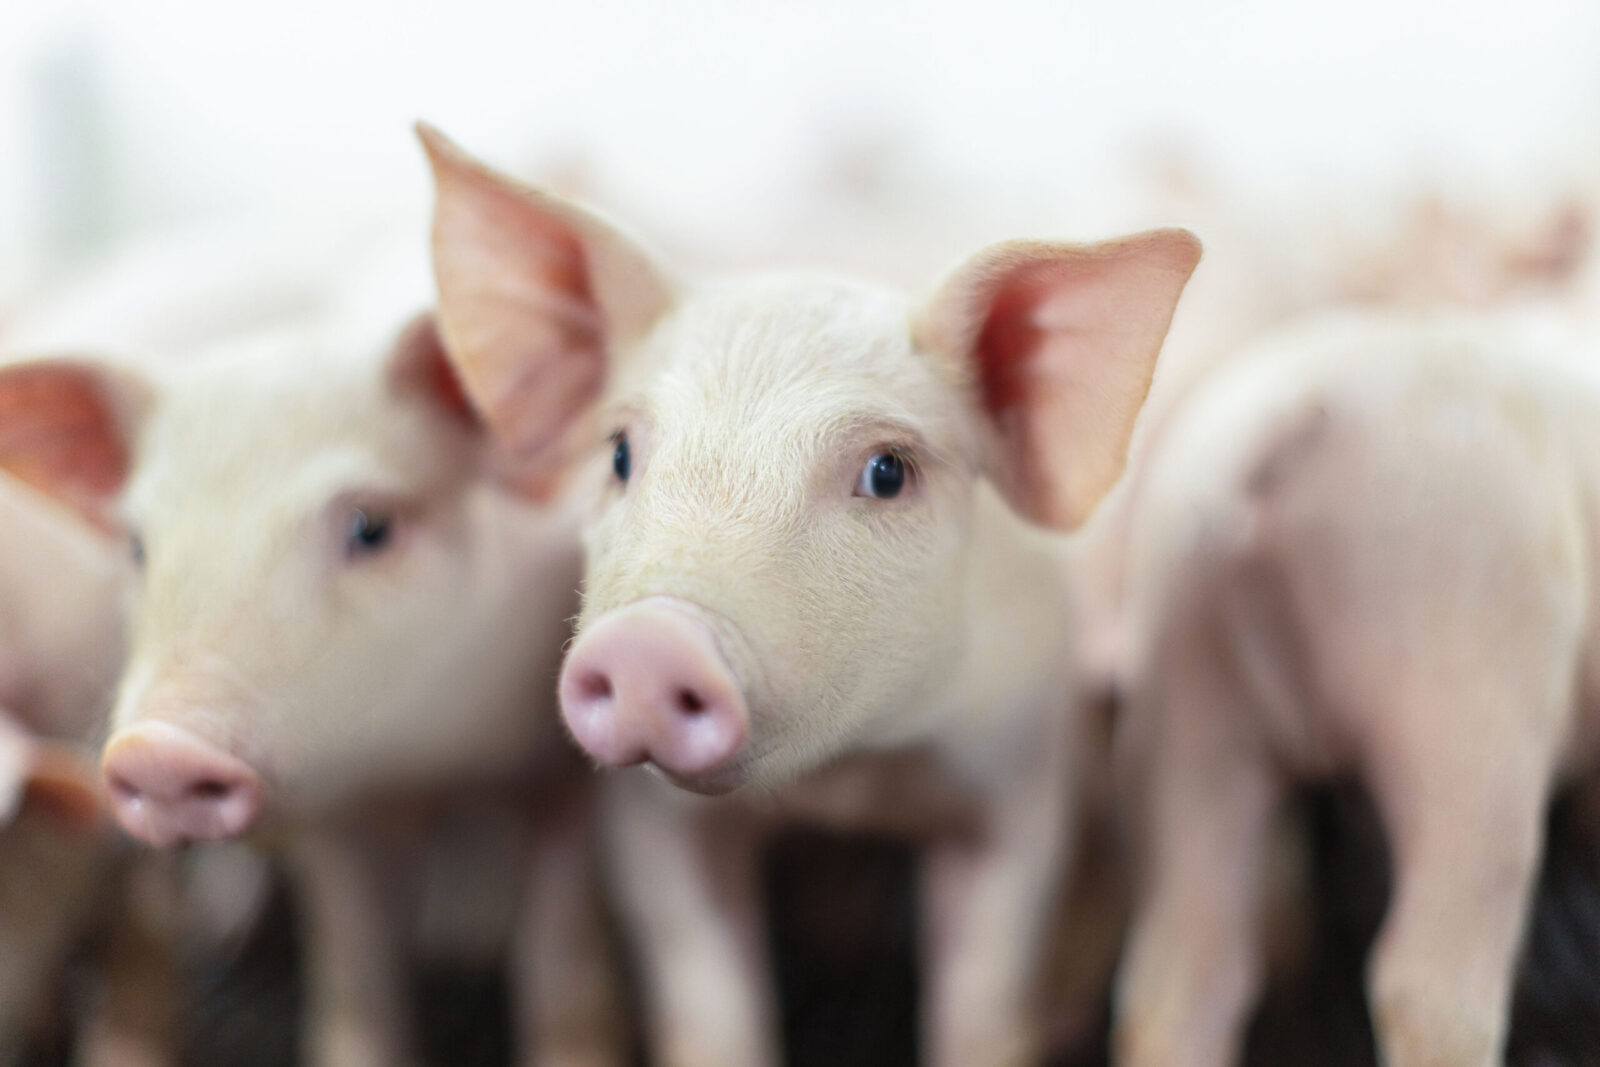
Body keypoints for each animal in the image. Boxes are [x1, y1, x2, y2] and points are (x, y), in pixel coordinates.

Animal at [0, 266, 625, 1067]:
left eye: (371, 526)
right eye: (138, 544)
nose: (157, 751)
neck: (430, 765)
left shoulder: (563, 776)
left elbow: (563, 966)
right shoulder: (333, 821)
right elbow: (353, 979)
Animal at [416, 124, 1200, 1067]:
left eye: (888, 471)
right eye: (619, 453)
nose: (649, 642)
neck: (848, 775)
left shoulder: (1022, 776)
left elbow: (982, 993)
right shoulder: (648, 821)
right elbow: (707, 994)